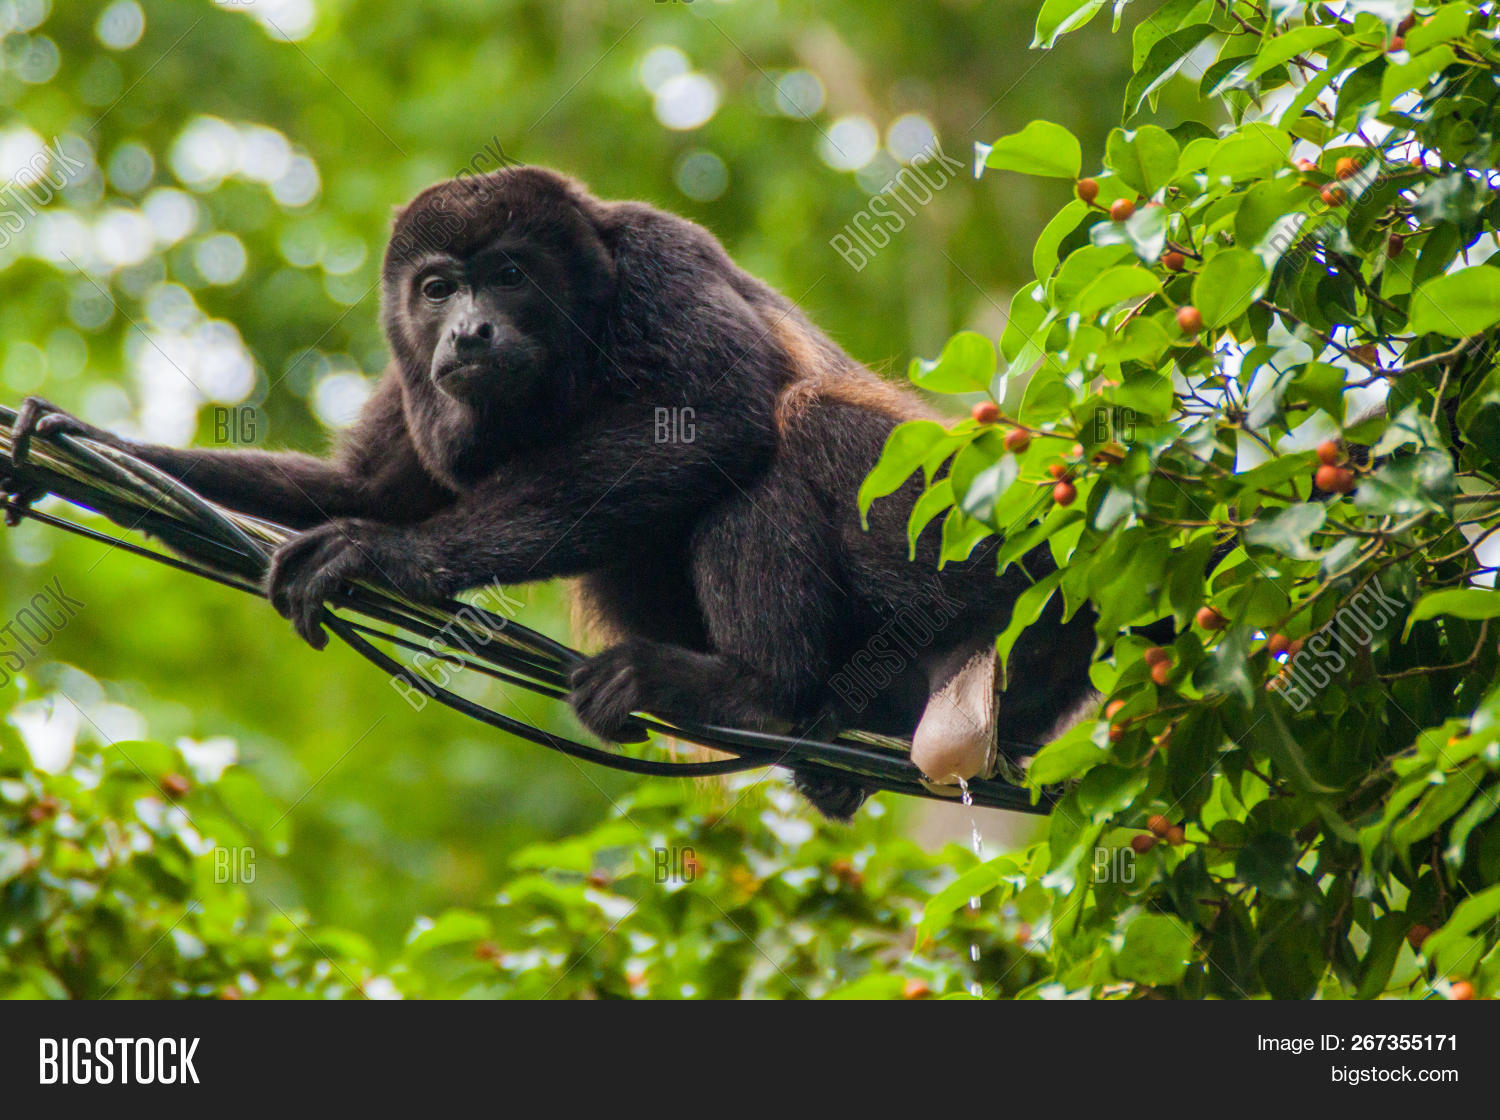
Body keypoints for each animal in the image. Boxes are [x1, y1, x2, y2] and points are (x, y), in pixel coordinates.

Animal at [2, 165, 1101, 819]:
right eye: (437, 287)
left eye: (509, 274)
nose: (469, 332)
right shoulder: (414, 373)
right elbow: (367, 485)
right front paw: (67, 445)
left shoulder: (661, 260)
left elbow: (720, 414)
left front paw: (389, 556)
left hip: (982, 544)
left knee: (789, 434)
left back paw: (759, 688)